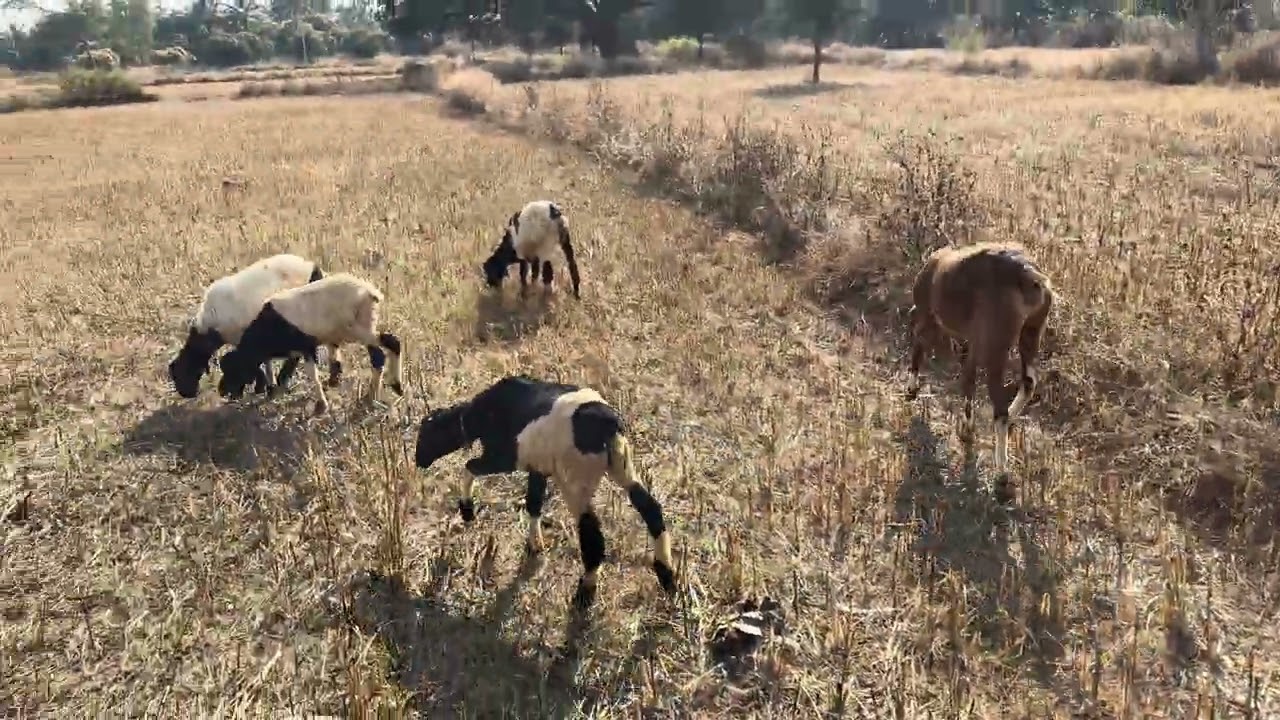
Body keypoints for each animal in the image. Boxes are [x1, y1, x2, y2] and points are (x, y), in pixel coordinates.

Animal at [168, 253, 344, 400]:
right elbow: (264, 361)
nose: (187, 393)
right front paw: (268, 386)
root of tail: (312, 267)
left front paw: (263, 387)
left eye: (184, 371)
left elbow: (256, 363)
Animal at [216, 272, 404, 415]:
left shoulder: (306, 347)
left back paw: (376, 395)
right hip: (365, 326)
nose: (222, 391)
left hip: (359, 329)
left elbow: (312, 375)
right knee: (387, 348)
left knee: (385, 350)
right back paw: (395, 388)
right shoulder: (301, 349)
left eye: (234, 370)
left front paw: (321, 406)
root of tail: (371, 293)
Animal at [413, 375, 675, 609]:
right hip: (623, 466)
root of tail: (608, 425)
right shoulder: (537, 466)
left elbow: (469, 467)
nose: (418, 462)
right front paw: (535, 545)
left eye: (426, 435)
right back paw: (667, 575)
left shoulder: (505, 457)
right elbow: (534, 502)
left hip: (575, 480)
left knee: (591, 532)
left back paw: (586, 590)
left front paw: (467, 510)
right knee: (650, 507)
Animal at [904, 242, 1054, 475]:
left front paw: (912, 388)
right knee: (1028, 383)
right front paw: (967, 428)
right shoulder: (974, 342)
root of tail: (1027, 273)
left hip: (997, 345)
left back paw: (1001, 467)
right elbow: (968, 379)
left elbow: (922, 348)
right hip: (1031, 332)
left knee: (1000, 408)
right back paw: (1011, 419)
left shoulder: (931, 321)